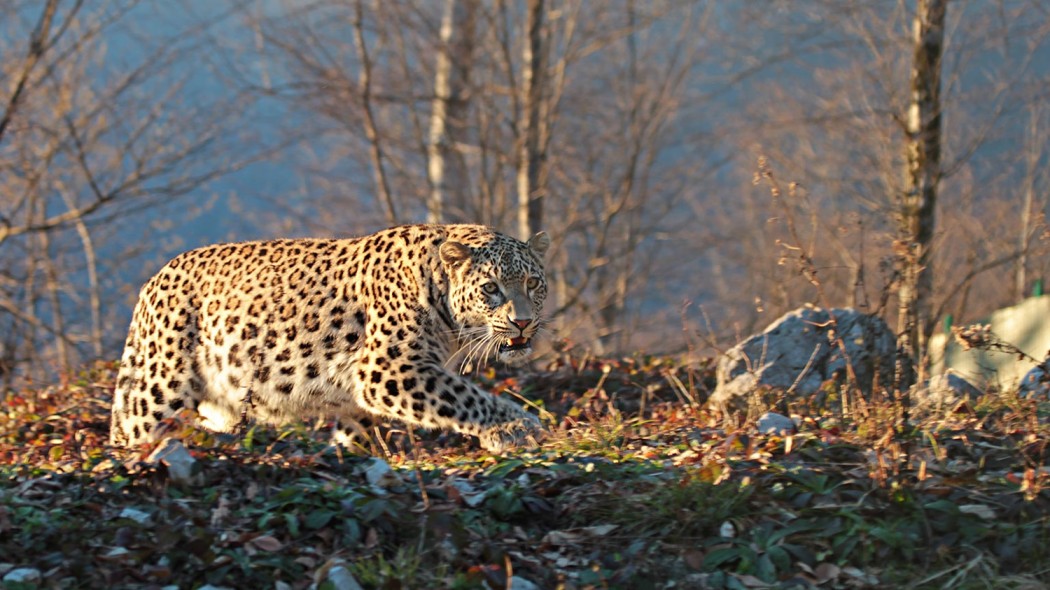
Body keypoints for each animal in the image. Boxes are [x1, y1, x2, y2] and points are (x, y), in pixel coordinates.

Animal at [109, 223, 550, 452]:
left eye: (533, 282)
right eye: (491, 289)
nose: (523, 323)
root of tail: (154, 279)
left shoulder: (364, 393)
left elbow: (357, 430)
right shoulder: (388, 369)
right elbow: (466, 397)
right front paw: (519, 428)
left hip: (220, 402)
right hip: (157, 387)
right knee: (129, 429)